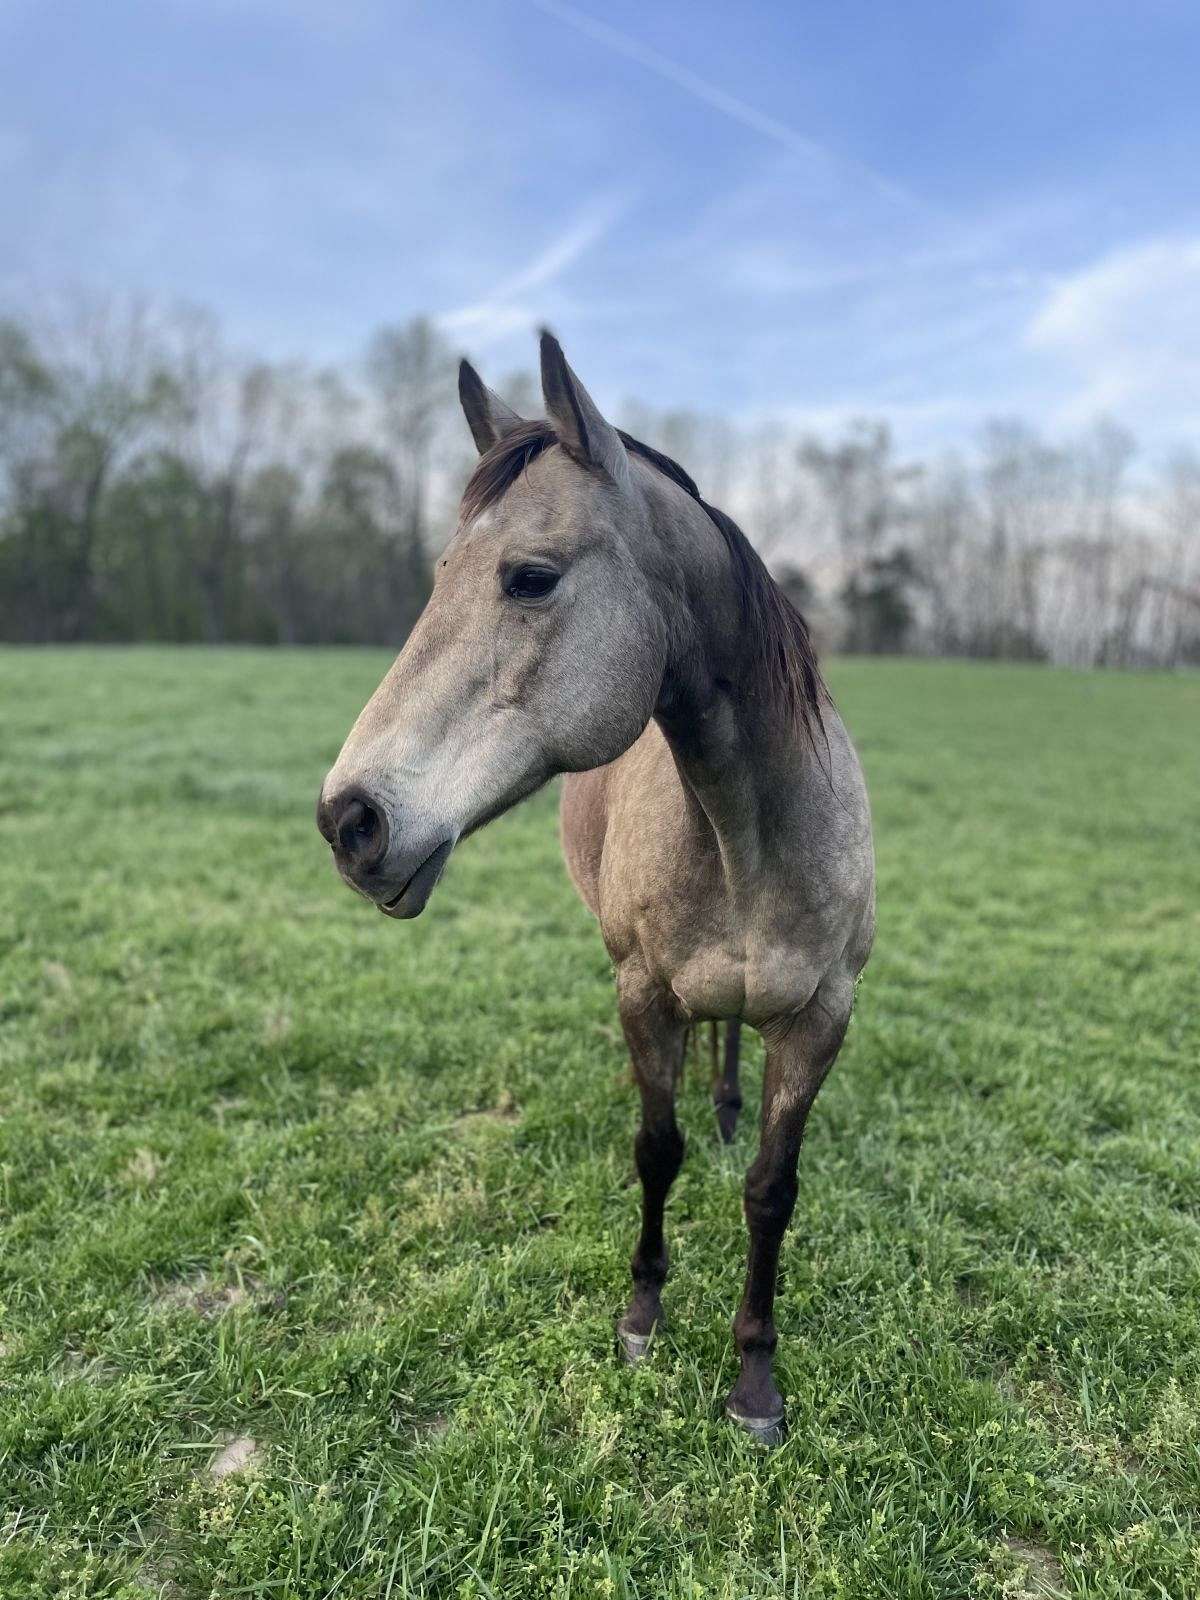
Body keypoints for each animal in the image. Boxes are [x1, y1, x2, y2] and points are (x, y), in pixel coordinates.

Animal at [316, 332, 875, 1443]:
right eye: (440, 574)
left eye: (529, 577)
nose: (349, 820)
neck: (752, 832)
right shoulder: (642, 992)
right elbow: (656, 1149)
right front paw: (643, 1311)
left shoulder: (821, 1018)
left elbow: (771, 1190)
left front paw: (755, 1376)